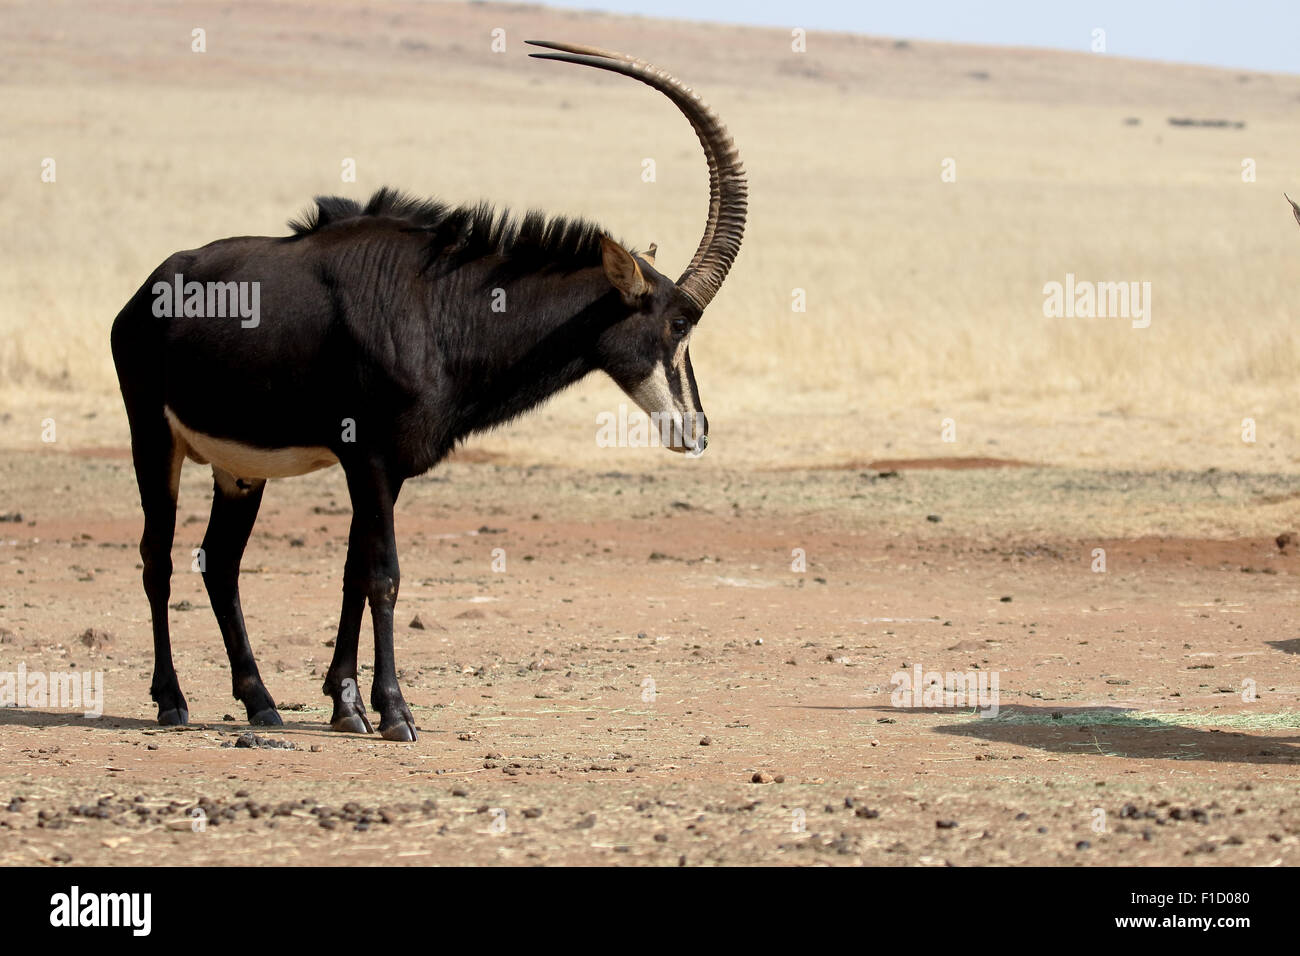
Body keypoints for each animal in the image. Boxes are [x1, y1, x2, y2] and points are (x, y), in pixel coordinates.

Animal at [110, 39, 748, 738]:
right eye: (679, 323)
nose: (695, 430)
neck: (443, 305)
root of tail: (145, 293)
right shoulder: (367, 457)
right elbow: (384, 575)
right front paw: (394, 711)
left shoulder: (386, 469)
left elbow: (354, 574)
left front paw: (347, 704)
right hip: (153, 439)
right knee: (157, 557)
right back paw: (171, 700)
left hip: (239, 470)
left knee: (220, 562)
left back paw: (261, 701)